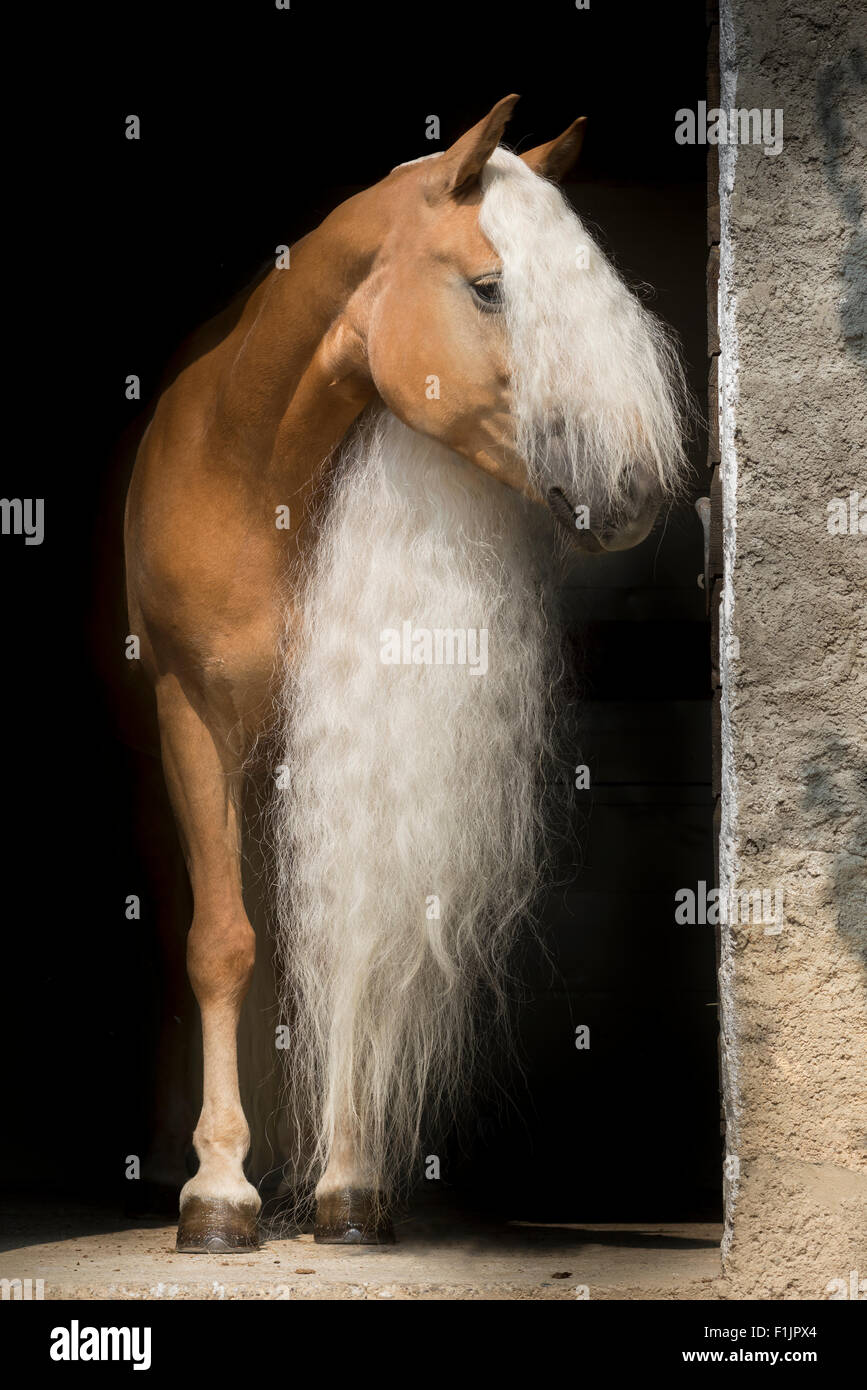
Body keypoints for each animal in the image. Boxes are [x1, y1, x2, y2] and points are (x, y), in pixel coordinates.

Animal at [124, 94, 690, 1251]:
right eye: (488, 286)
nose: (633, 487)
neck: (247, 474)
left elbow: (344, 938)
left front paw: (344, 1183)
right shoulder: (191, 718)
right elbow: (219, 945)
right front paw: (217, 1190)